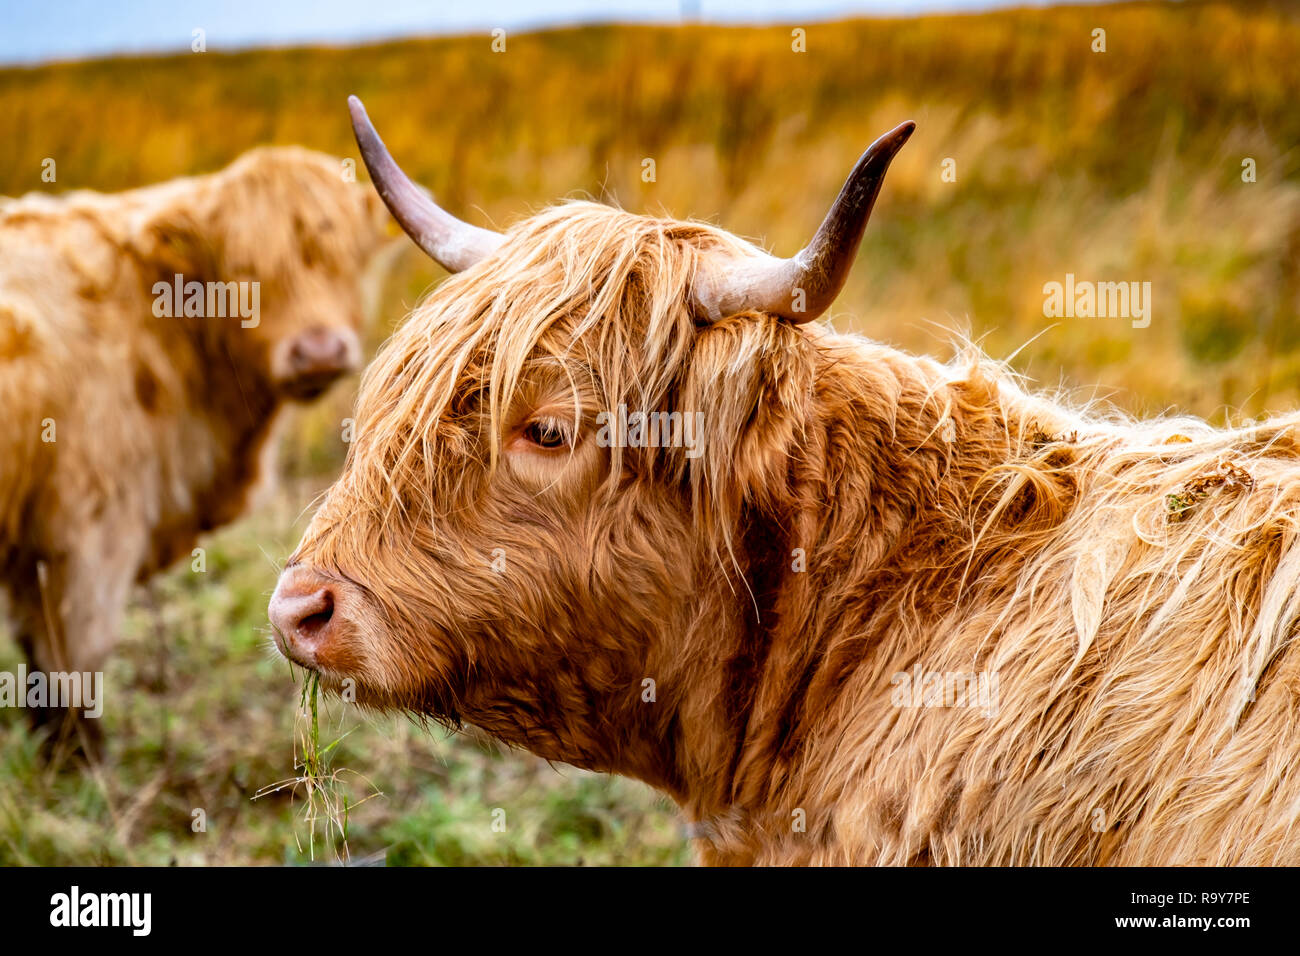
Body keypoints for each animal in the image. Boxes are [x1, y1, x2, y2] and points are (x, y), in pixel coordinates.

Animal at [1, 146, 389, 749]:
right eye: (244, 270)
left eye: (345, 257)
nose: (320, 350)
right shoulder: (89, 532)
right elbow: (69, 659)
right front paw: (81, 757)